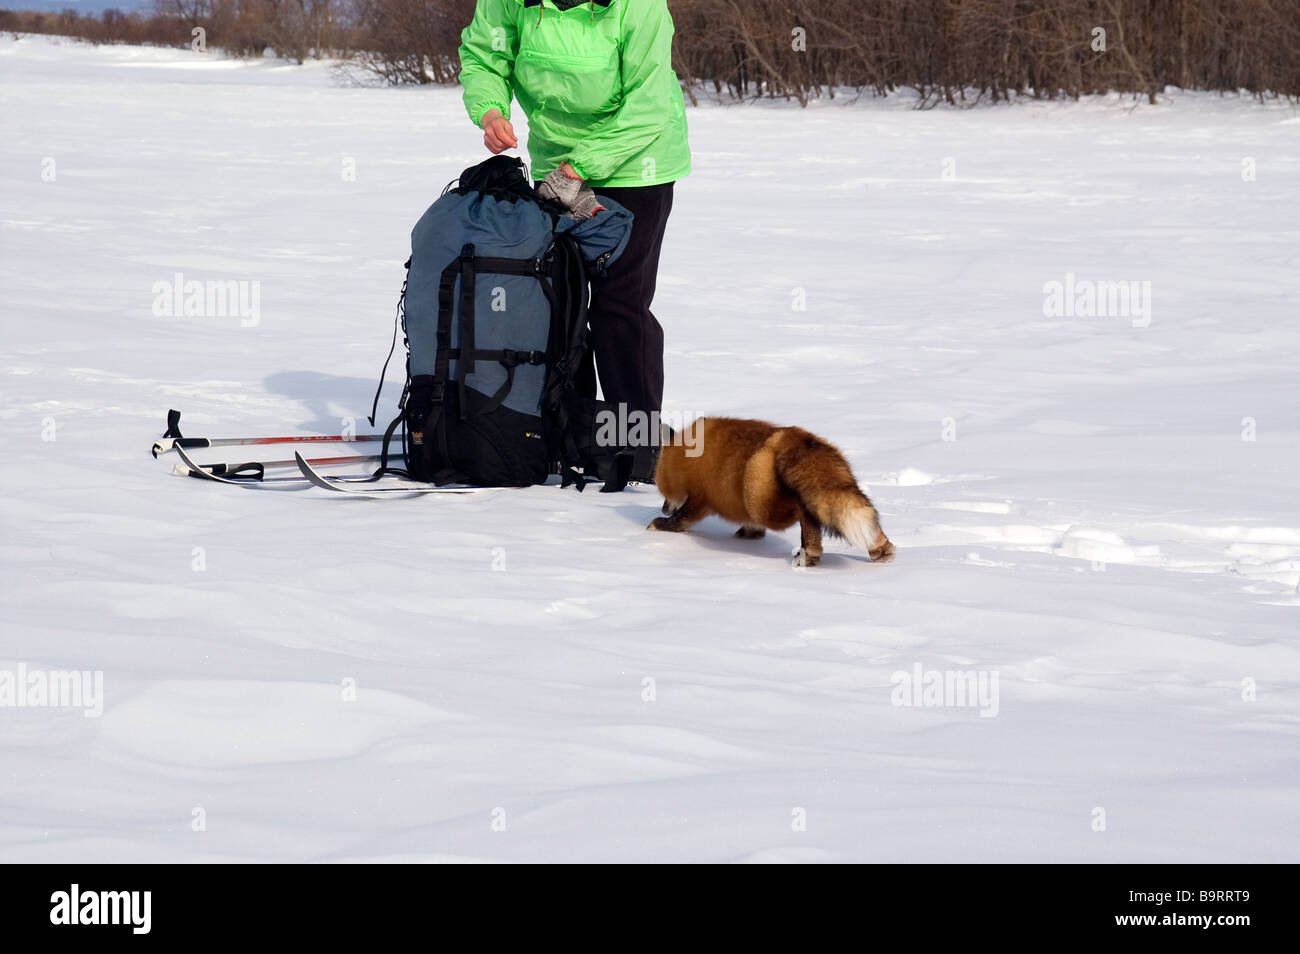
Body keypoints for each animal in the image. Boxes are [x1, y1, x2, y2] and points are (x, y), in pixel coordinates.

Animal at [648, 417, 895, 568]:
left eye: (664, 494)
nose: (663, 507)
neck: (685, 459)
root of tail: (794, 438)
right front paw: (749, 533)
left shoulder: (700, 498)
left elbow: (681, 519)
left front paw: (659, 524)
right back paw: (881, 549)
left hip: (759, 501)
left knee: (803, 512)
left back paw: (810, 553)